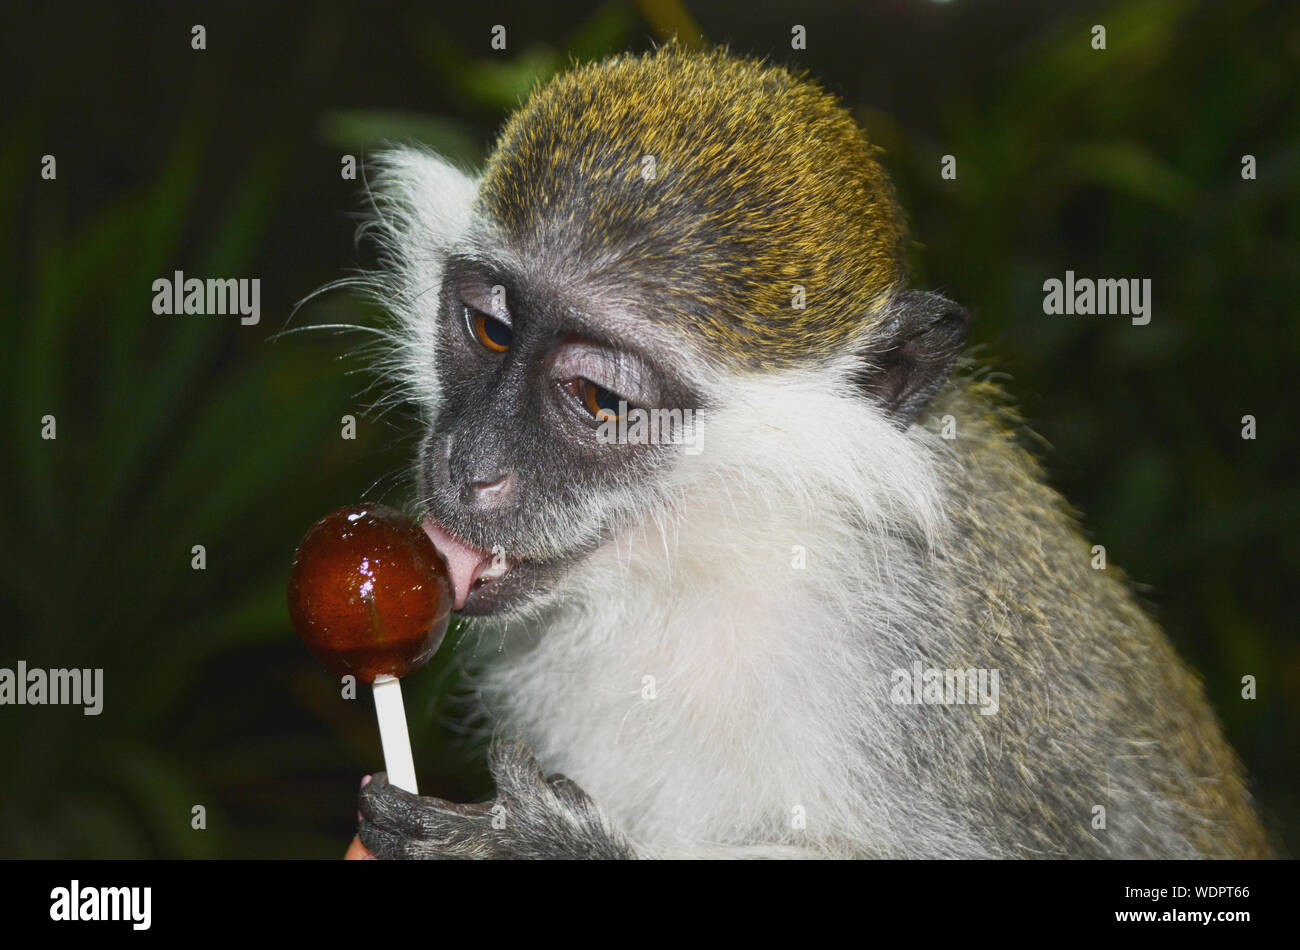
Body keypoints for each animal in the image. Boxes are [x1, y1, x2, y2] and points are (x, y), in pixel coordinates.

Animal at [350, 45, 1272, 859]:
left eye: (600, 402)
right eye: (490, 329)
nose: (466, 466)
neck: (718, 563)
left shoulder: (931, 679)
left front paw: (541, 848)